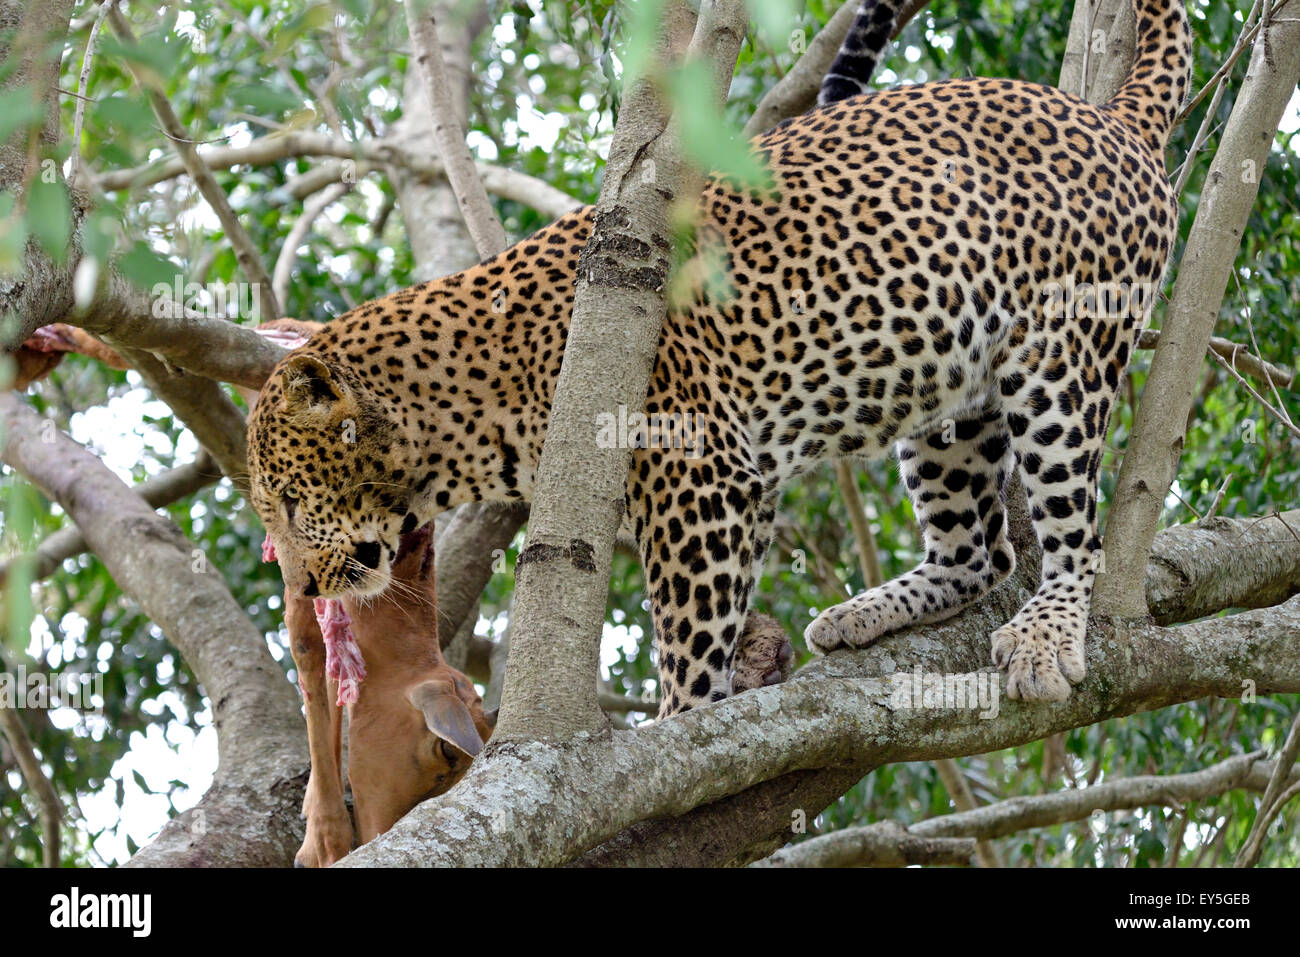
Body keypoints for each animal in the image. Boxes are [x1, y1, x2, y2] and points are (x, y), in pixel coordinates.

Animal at [247, 0, 1192, 718]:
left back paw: (1047, 630)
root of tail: (1113, 117)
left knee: (1074, 531)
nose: (309, 589)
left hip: (1063, 359)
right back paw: (868, 611)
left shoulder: (694, 476)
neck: (458, 412)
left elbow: (690, 631)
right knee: (978, 552)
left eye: (291, 502)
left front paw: (678, 725)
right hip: (950, 401)